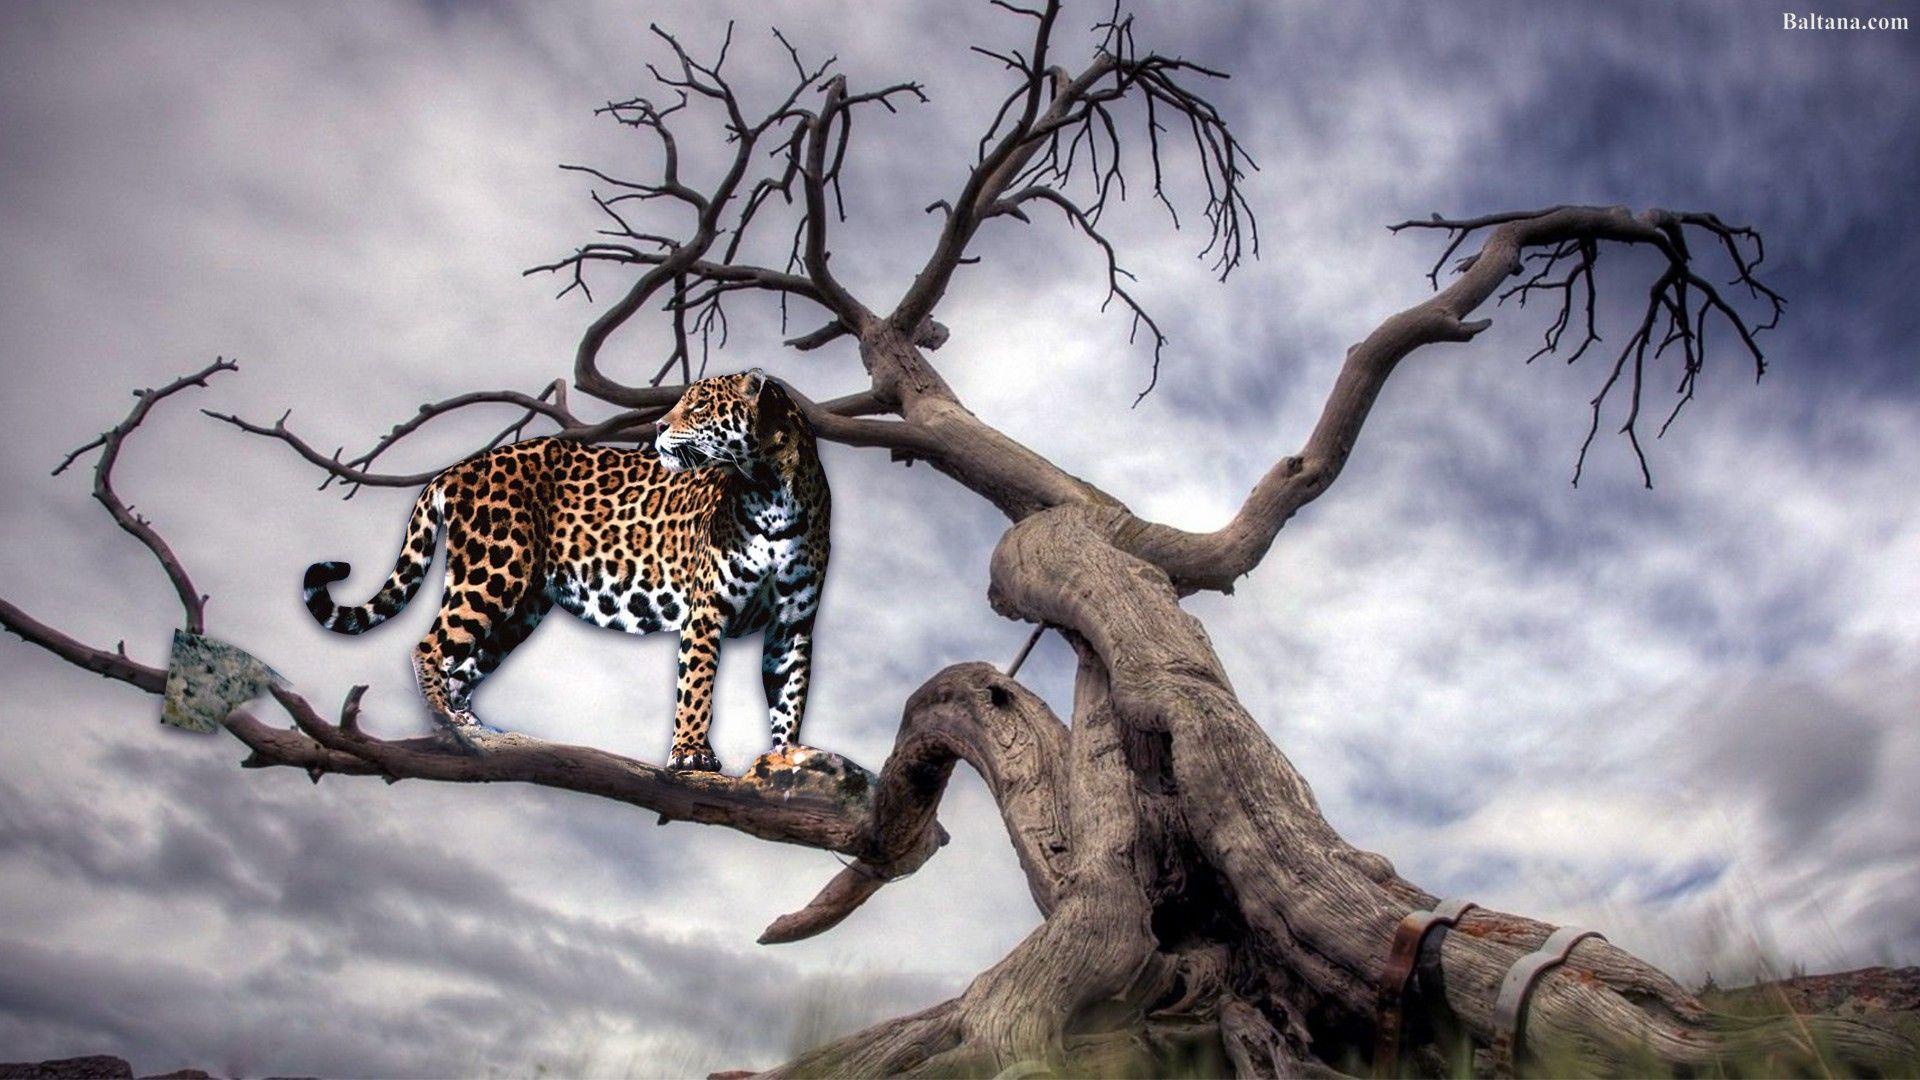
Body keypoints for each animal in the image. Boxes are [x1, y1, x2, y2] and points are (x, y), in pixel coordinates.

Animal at [299, 368, 830, 773]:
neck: (771, 492)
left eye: (699, 406)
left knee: (464, 667)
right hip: (492, 572)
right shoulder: (707, 612)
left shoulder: (792, 625)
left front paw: (789, 762)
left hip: (522, 610)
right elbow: (696, 686)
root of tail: (460, 467)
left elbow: (790, 698)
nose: (658, 427)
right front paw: (690, 754)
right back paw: (446, 728)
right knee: (428, 647)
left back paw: (471, 726)